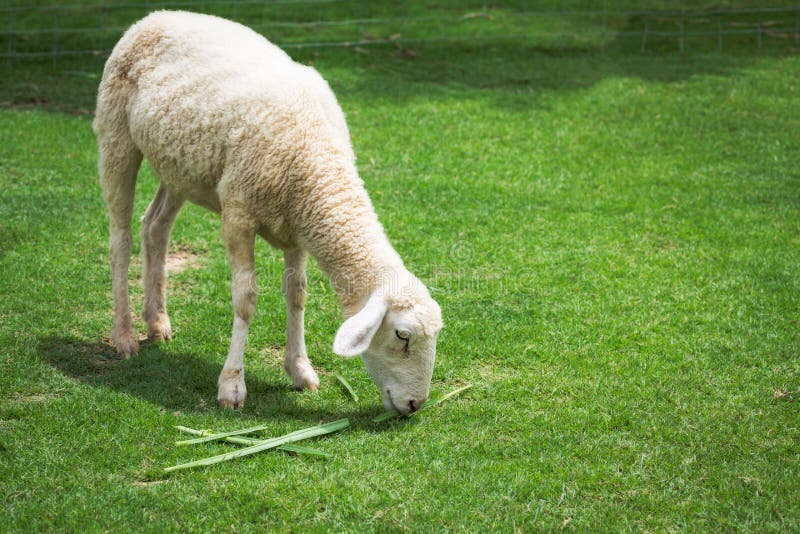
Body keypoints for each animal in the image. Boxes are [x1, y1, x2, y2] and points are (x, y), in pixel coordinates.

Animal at [93, 11, 443, 414]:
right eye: (402, 336)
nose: (416, 404)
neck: (317, 161)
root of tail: (157, 16)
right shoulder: (238, 216)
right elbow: (246, 301)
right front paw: (232, 385)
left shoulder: (299, 227)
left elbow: (297, 295)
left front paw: (300, 369)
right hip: (116, 135)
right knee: (120, 238)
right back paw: (124, 335)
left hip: (180, 165)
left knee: (154, 226)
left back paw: (157, 321)